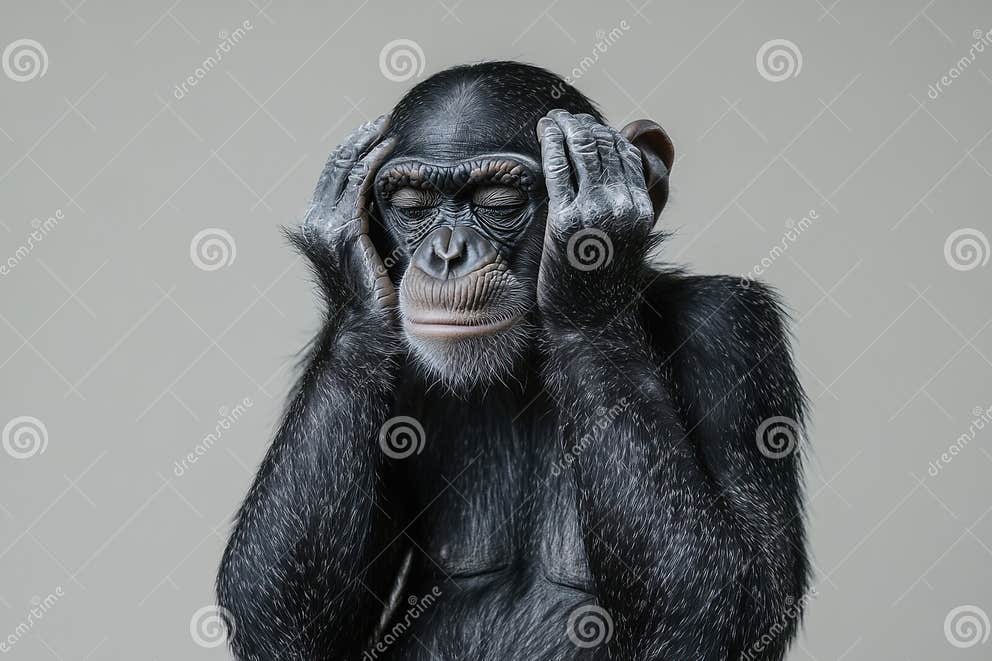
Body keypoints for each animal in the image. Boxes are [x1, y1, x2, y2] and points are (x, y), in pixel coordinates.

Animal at [217, 61, 809, 661]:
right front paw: (340, 243)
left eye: (499, 198)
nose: (446, 252)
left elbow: (727, 600)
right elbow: (274, 616)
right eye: (410, 203)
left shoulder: (730, 330)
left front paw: (593, 241)